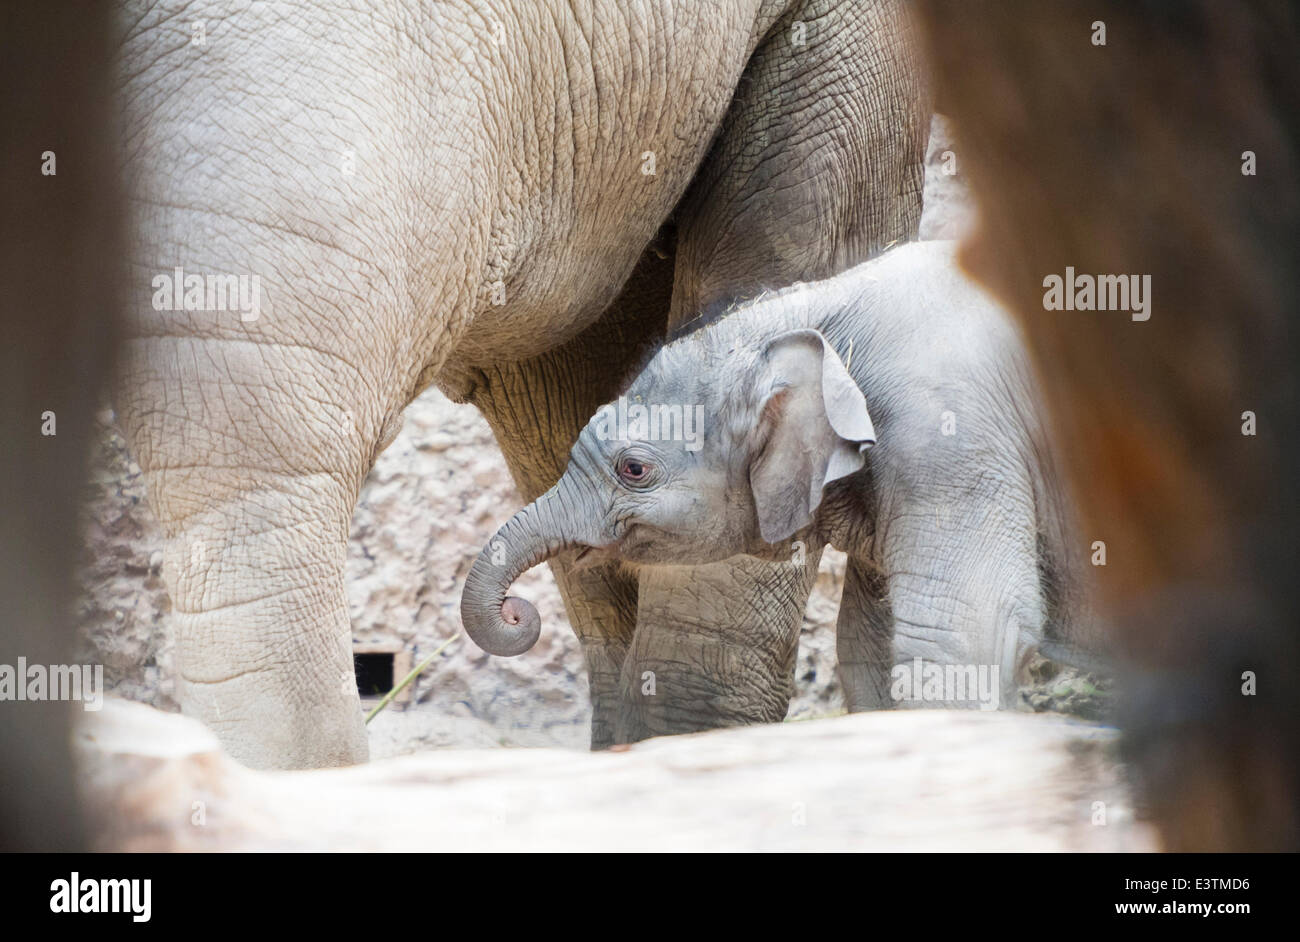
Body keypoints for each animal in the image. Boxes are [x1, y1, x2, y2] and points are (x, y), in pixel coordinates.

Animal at [463, 240, 1079, 715]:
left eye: (633, 469)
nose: (518, 612)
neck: (822, 313)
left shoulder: (950, 440)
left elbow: (961, 639)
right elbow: (867, 645)